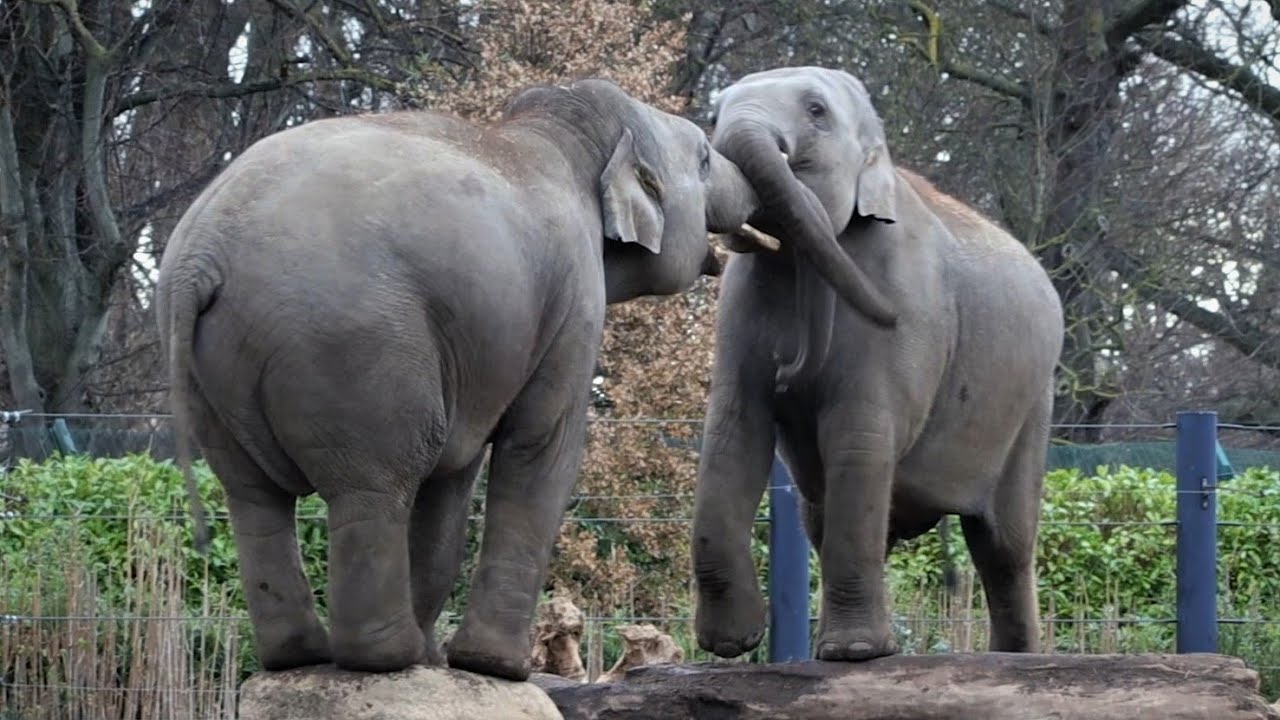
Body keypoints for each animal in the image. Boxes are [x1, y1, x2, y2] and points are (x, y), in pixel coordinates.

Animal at [155, 77, 769, 681]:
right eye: (705, 158)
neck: (555, 133)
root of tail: (201, 254)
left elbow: (455, 474)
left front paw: (440, 662)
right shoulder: (574, 300)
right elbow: (541, 446)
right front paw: (497, 668)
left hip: (212, 374)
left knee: (253, 497)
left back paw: (301, 657)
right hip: (352, 347)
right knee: (378, 481)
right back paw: (387, 658)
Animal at [690, 66, 1065, 662]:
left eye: (816, 111)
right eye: (713, 113)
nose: (789, 372)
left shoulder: (903, 308)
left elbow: (858, 436)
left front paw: (857, 655)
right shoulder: (741, 304)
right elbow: (734, 431)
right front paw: (731, 644)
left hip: (1032, 409)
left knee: (1004, 544)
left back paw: (1013, 660)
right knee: (826, 518)